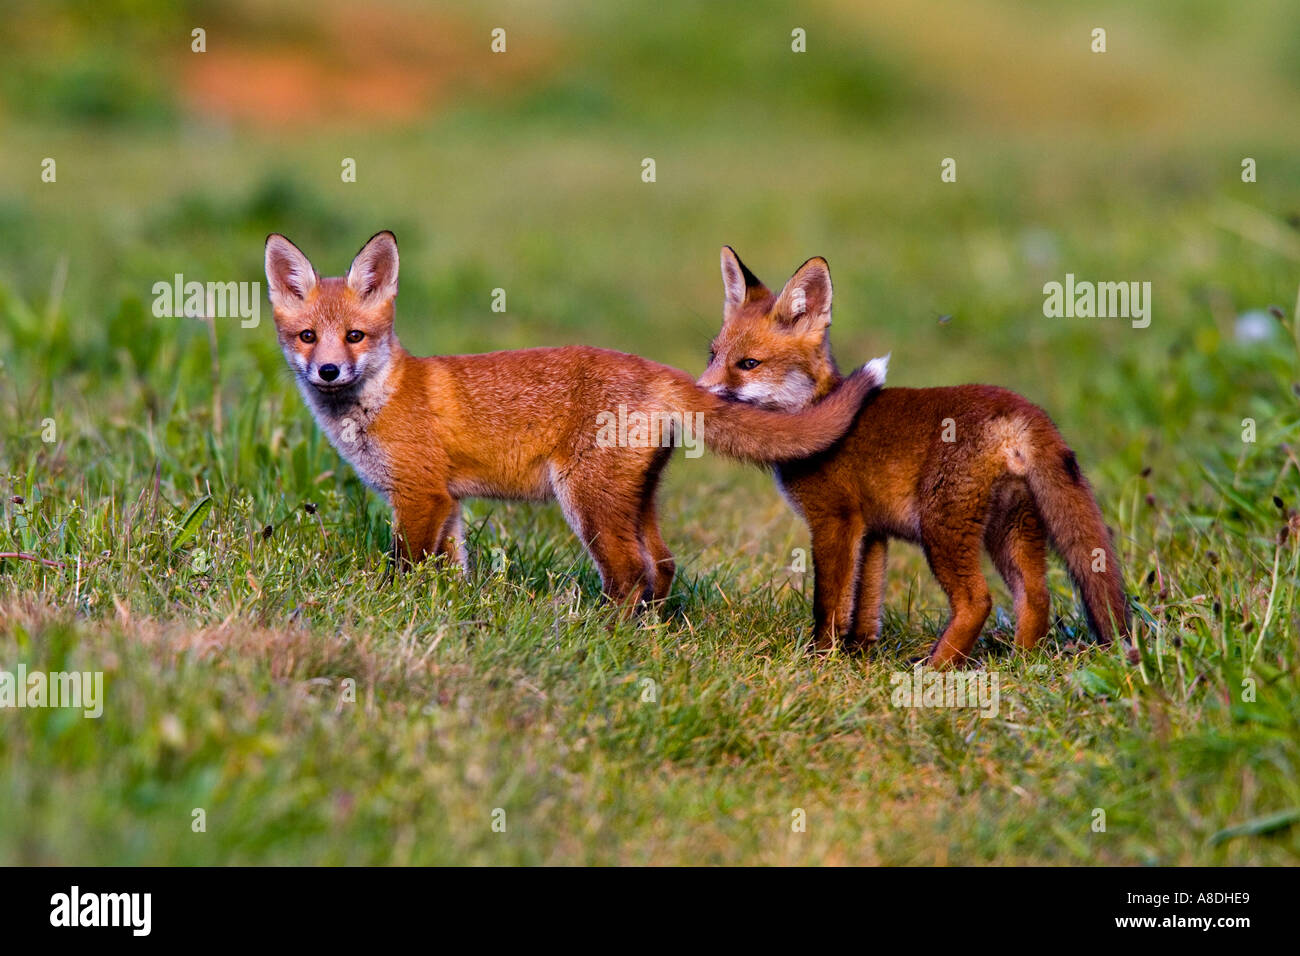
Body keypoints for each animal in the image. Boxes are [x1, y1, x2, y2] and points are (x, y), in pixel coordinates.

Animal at [263, 231, 888, 610]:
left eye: (355, 337)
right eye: (308, 336)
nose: (327, 371)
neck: (380, 401)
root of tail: (661, 369)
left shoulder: (422, 496)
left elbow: (407, 569)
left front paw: (399, 608)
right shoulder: (449, 503)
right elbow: (453, 568)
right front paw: (453, 611)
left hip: (587, 502)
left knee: (631, 573)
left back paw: (604, 634)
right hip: (633, 501)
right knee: (662, 565)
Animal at [698, 247, 1131, 666]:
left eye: (748, 364)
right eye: (713, 356)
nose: (697, 393)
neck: (818, 408)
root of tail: (1021, 408)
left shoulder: (835, 520)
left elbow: (830, 605)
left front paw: (819, 659)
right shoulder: (872, 532)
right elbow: (865, 604)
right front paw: (858, 655)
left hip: (942, 528)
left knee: (978, 601)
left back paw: (938, 666)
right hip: (1011, 530)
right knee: (1036, 596)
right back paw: (1021, 664)